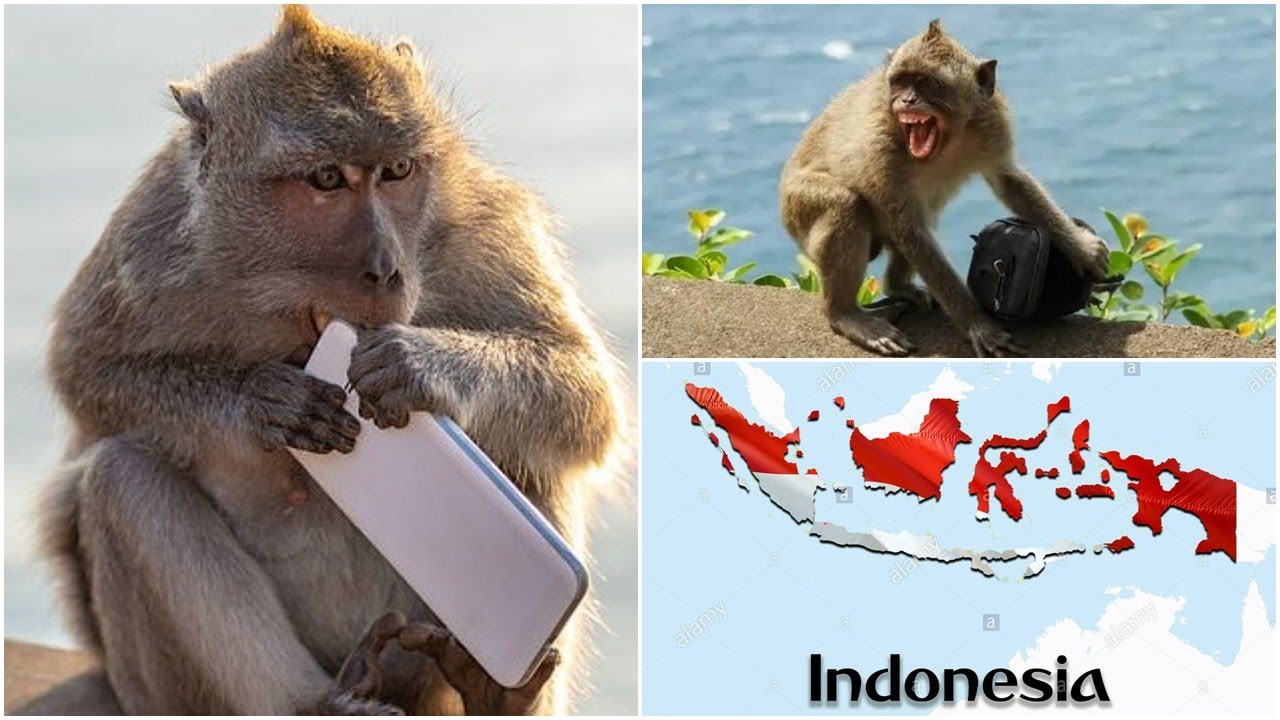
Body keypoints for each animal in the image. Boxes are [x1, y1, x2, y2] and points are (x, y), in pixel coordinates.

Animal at [39, 5, 626, 715]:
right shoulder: (153, 237)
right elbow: (89, 371)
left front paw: (418, 366)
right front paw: (260, 399)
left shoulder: (483, 223)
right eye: (326, 179)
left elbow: (581, 392)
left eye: (397, 170)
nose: (386, 269)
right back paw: (320, 700)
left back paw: (494, 688)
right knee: (121, 476)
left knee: (528, 453)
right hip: (160, 690)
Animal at [780, 19, 1111, 357]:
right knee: (845, 204)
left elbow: (1010, 181)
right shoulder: (880, 147)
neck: (948, 141)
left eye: (927, 82)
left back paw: (898, 287)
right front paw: (978, 325)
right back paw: (846, 316)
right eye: (900, 82)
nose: (907, 100)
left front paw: (1082, 250)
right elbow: (911, 231)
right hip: (798, 208)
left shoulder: (992, 120)